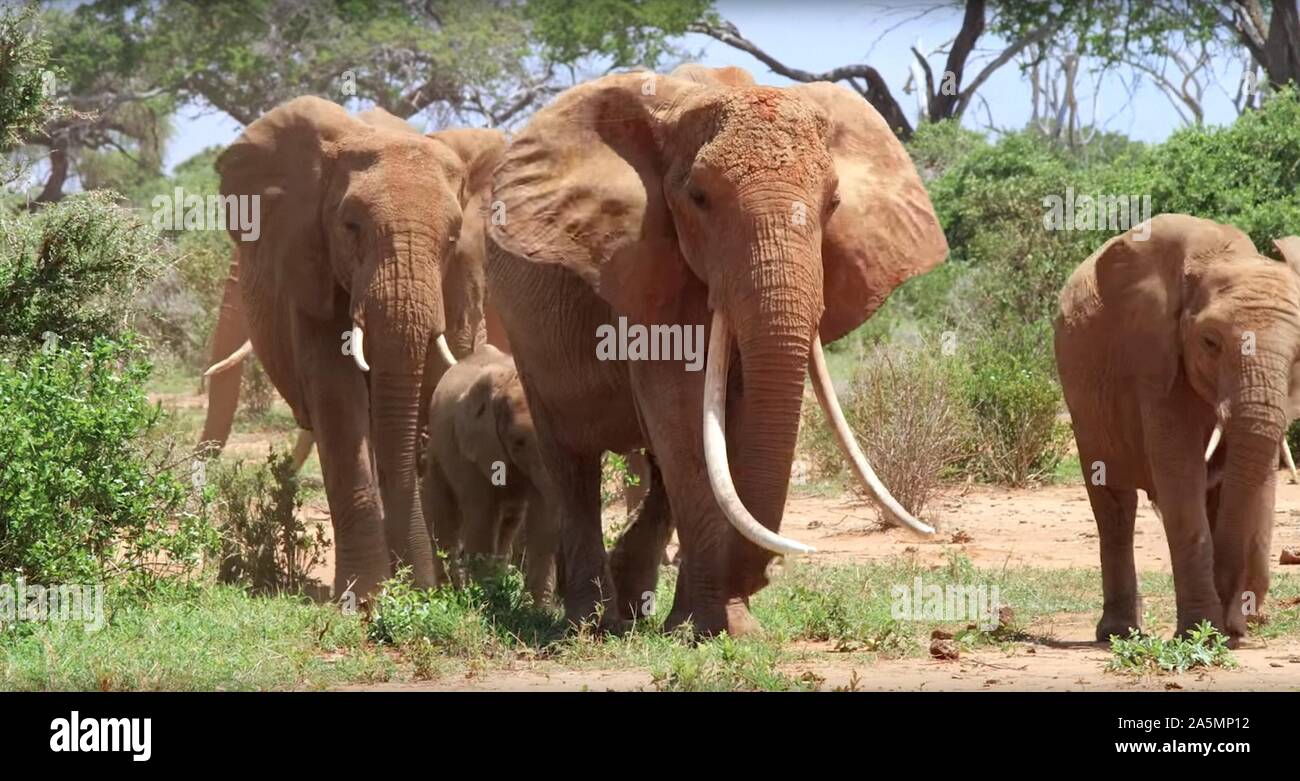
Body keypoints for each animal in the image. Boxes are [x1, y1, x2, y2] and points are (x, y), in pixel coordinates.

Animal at [210, 95, 505, 601]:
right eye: (351, 227)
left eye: (452, 237)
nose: (422, 586)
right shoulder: (310, 265)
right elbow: (336, 397)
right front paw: (366, 596)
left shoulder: (462, 281)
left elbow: (431, 387)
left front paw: (417, 586)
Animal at [421, 344, 557, 604]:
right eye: (518, 442)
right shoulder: (469, 450)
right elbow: (481, 517)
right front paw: (487, 601)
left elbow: (543, 517)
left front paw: (539, 609)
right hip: (438, 452)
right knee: (445, 516)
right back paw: (449, 594)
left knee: (509, 521)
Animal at [484, 65, 947, 635]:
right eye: (700, 199)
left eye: (833, 204)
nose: (761, 577)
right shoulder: (647, 267)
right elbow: (683, 415)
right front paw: (709, 627)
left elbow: (731, 421)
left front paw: (727, 625)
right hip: (524, 335)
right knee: (572, 463)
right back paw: (593, 625)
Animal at [1055, 214, 1300, 644]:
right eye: (1210, 342)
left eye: (1299, 355)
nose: (1236, 624)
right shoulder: (1155, 360)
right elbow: (1180, 474)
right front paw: (1202, 633)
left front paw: (1230, 628)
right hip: (1083, 404)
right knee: (1114, 506)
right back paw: (1119, 634)